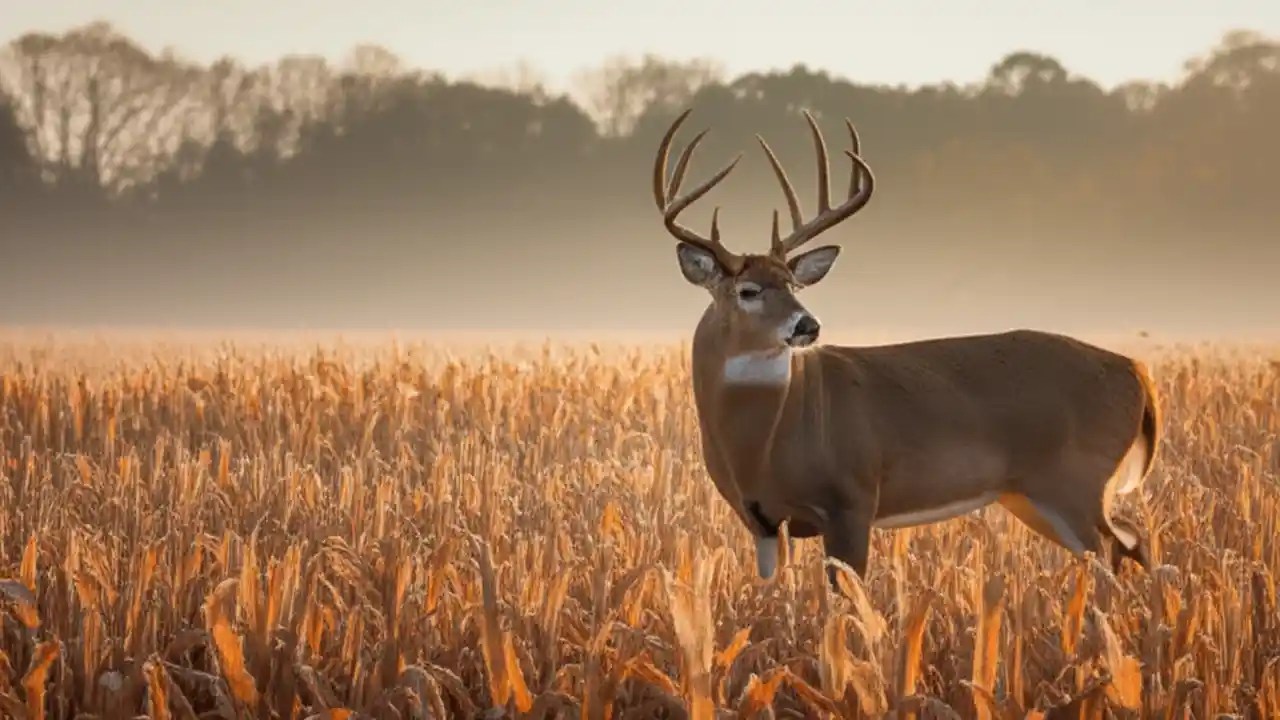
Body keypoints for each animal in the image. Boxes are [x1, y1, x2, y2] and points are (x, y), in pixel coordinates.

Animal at [653, 107, 1162, 588]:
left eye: (793, 284)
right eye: (749, 290)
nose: (808, 324)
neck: (765, 439)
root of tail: (1136, 371)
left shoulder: (852, 497)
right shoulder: (758, 520)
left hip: (1077, 480)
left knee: (1115, 551)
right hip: (1031, 495)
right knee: (1128, 539)